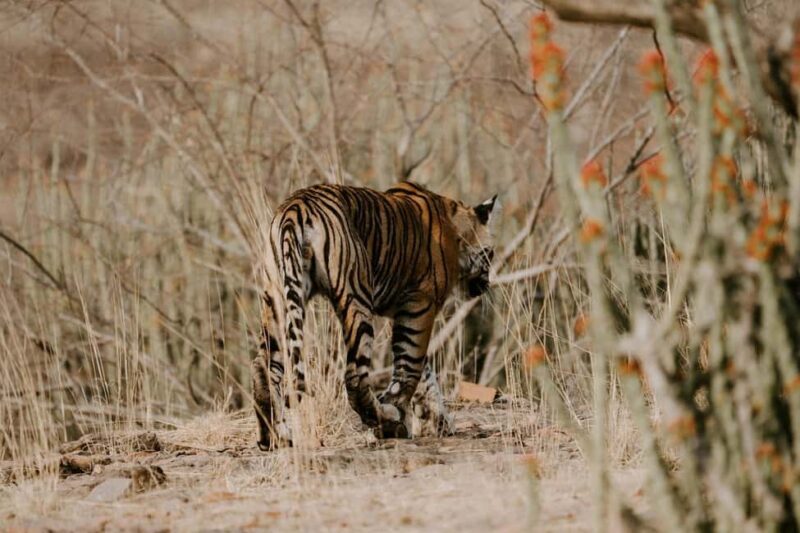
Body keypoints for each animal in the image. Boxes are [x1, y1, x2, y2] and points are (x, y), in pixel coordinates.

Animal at [251, 181, 497, 450]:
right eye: (491, 254)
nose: (488, 282)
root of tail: (295, 207)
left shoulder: (402, 313)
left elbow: (424, 373)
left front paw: (438, 420)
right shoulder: (419, 305)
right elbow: (410, 368)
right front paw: (399, 414)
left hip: (276, 298)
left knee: (262, 367)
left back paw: (273, 436)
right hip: (355, 298)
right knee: (354, 378)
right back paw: (387, 421)